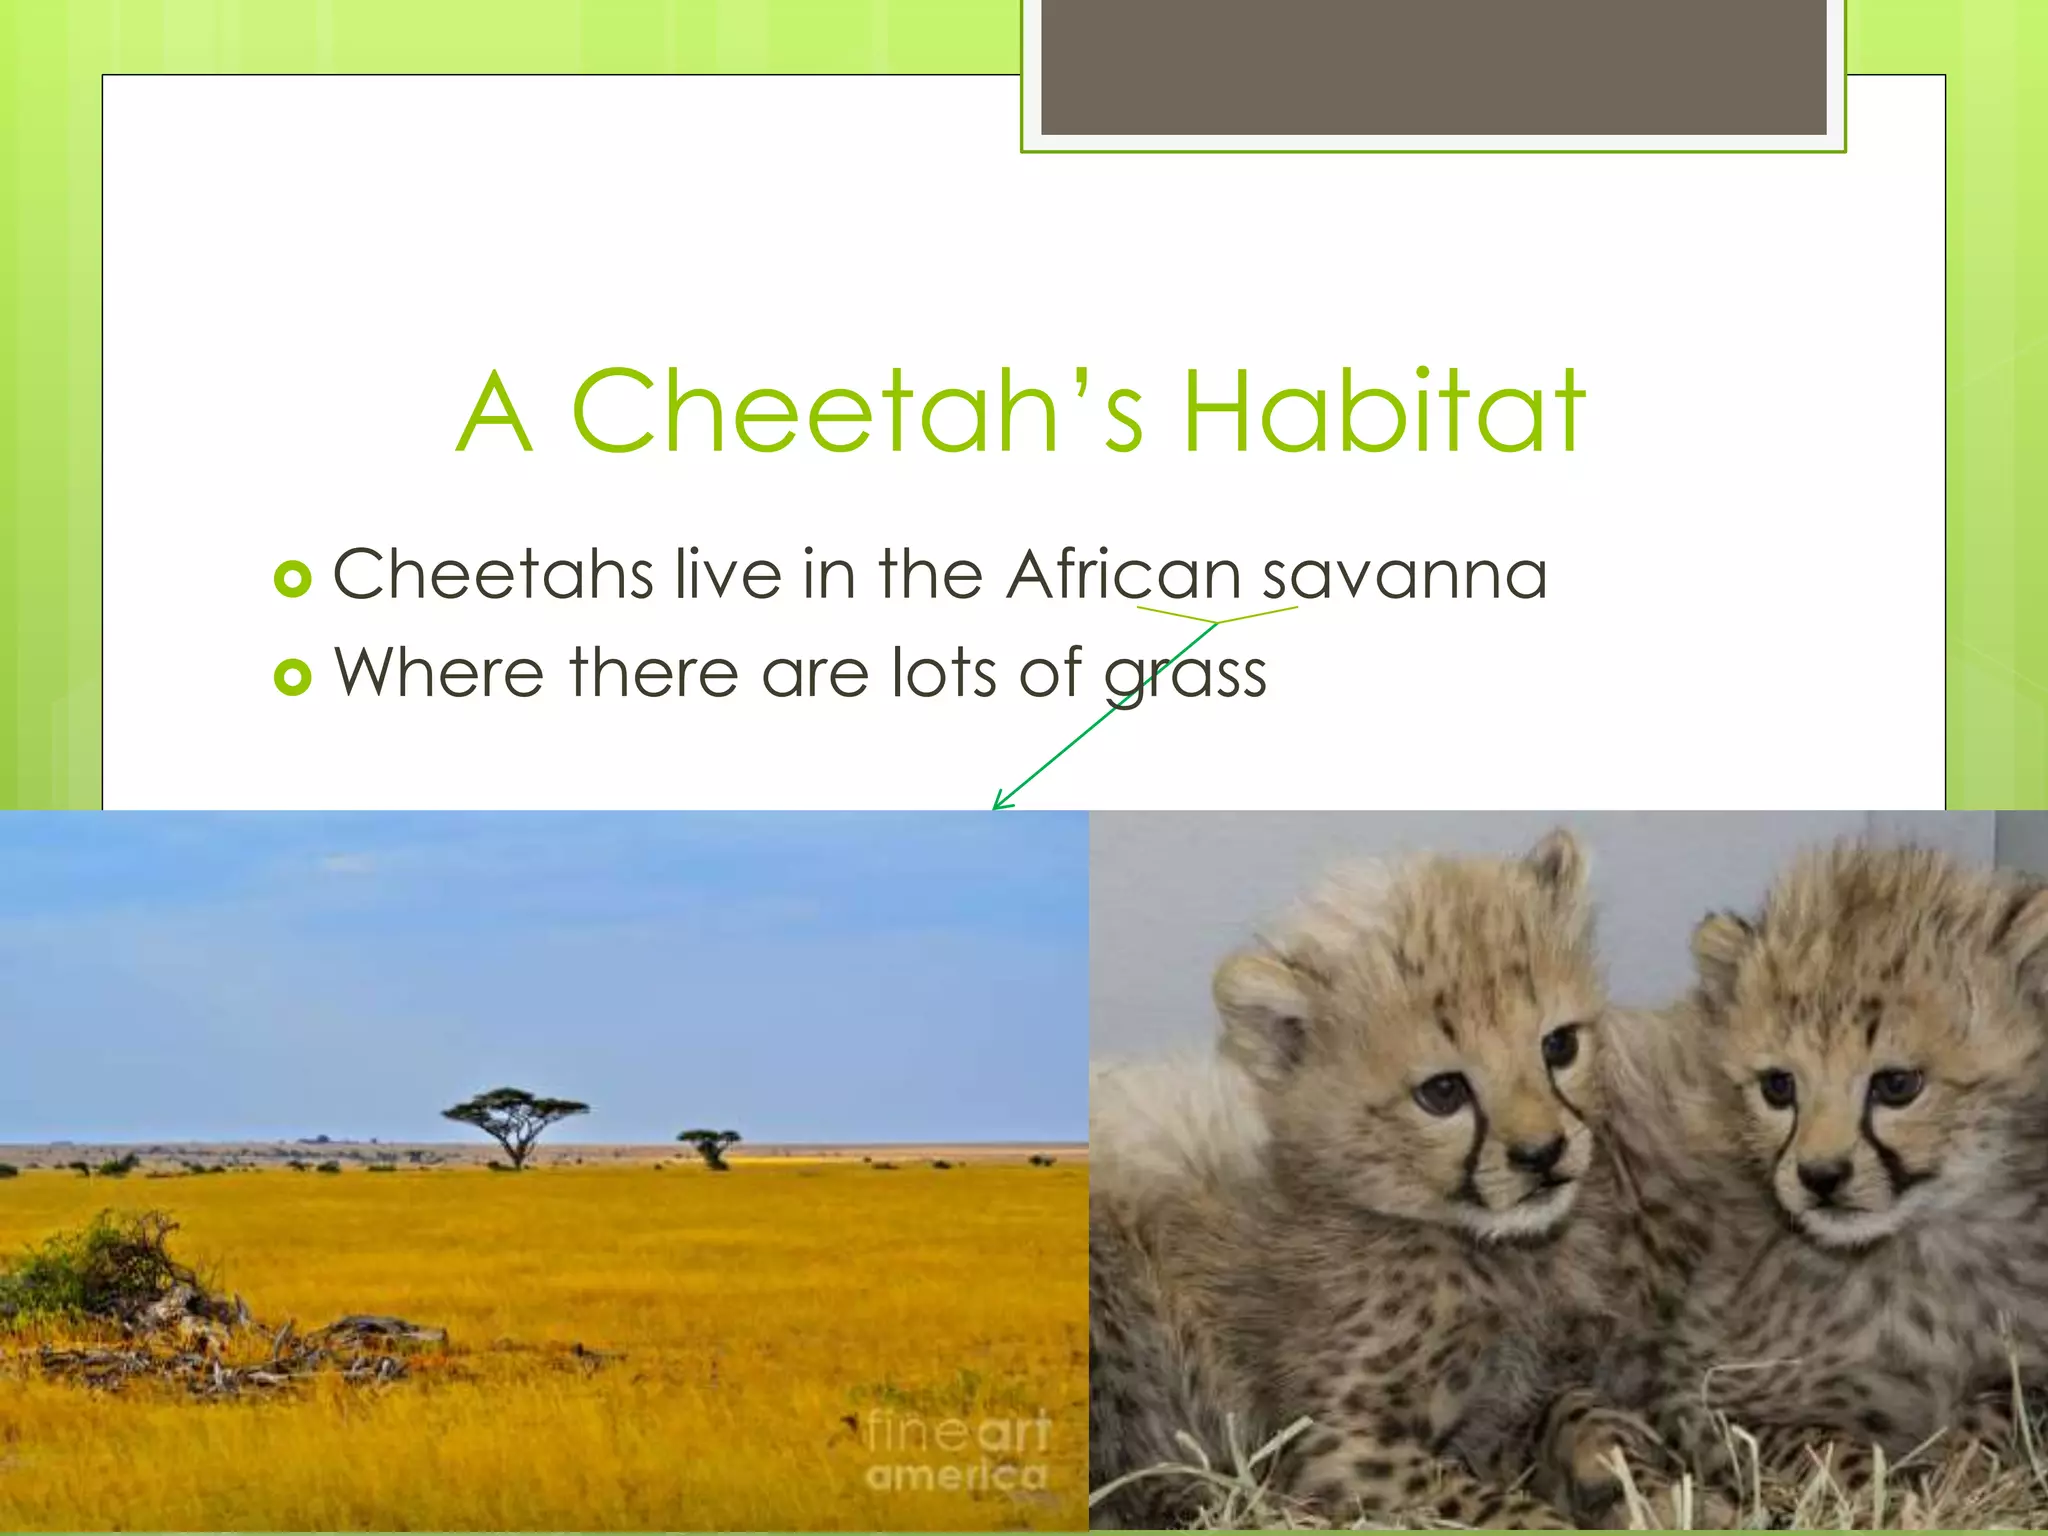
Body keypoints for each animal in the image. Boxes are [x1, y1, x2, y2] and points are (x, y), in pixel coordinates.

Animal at [1089, 830, 1691, 1529]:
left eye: (1559, 1046)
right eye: (1443, 1092)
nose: (1543, 1154)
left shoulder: (1504, 1408)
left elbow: (1579, 1411)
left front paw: (1644, 1487)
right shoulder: (1326, 1447)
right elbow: (1477, 1503)